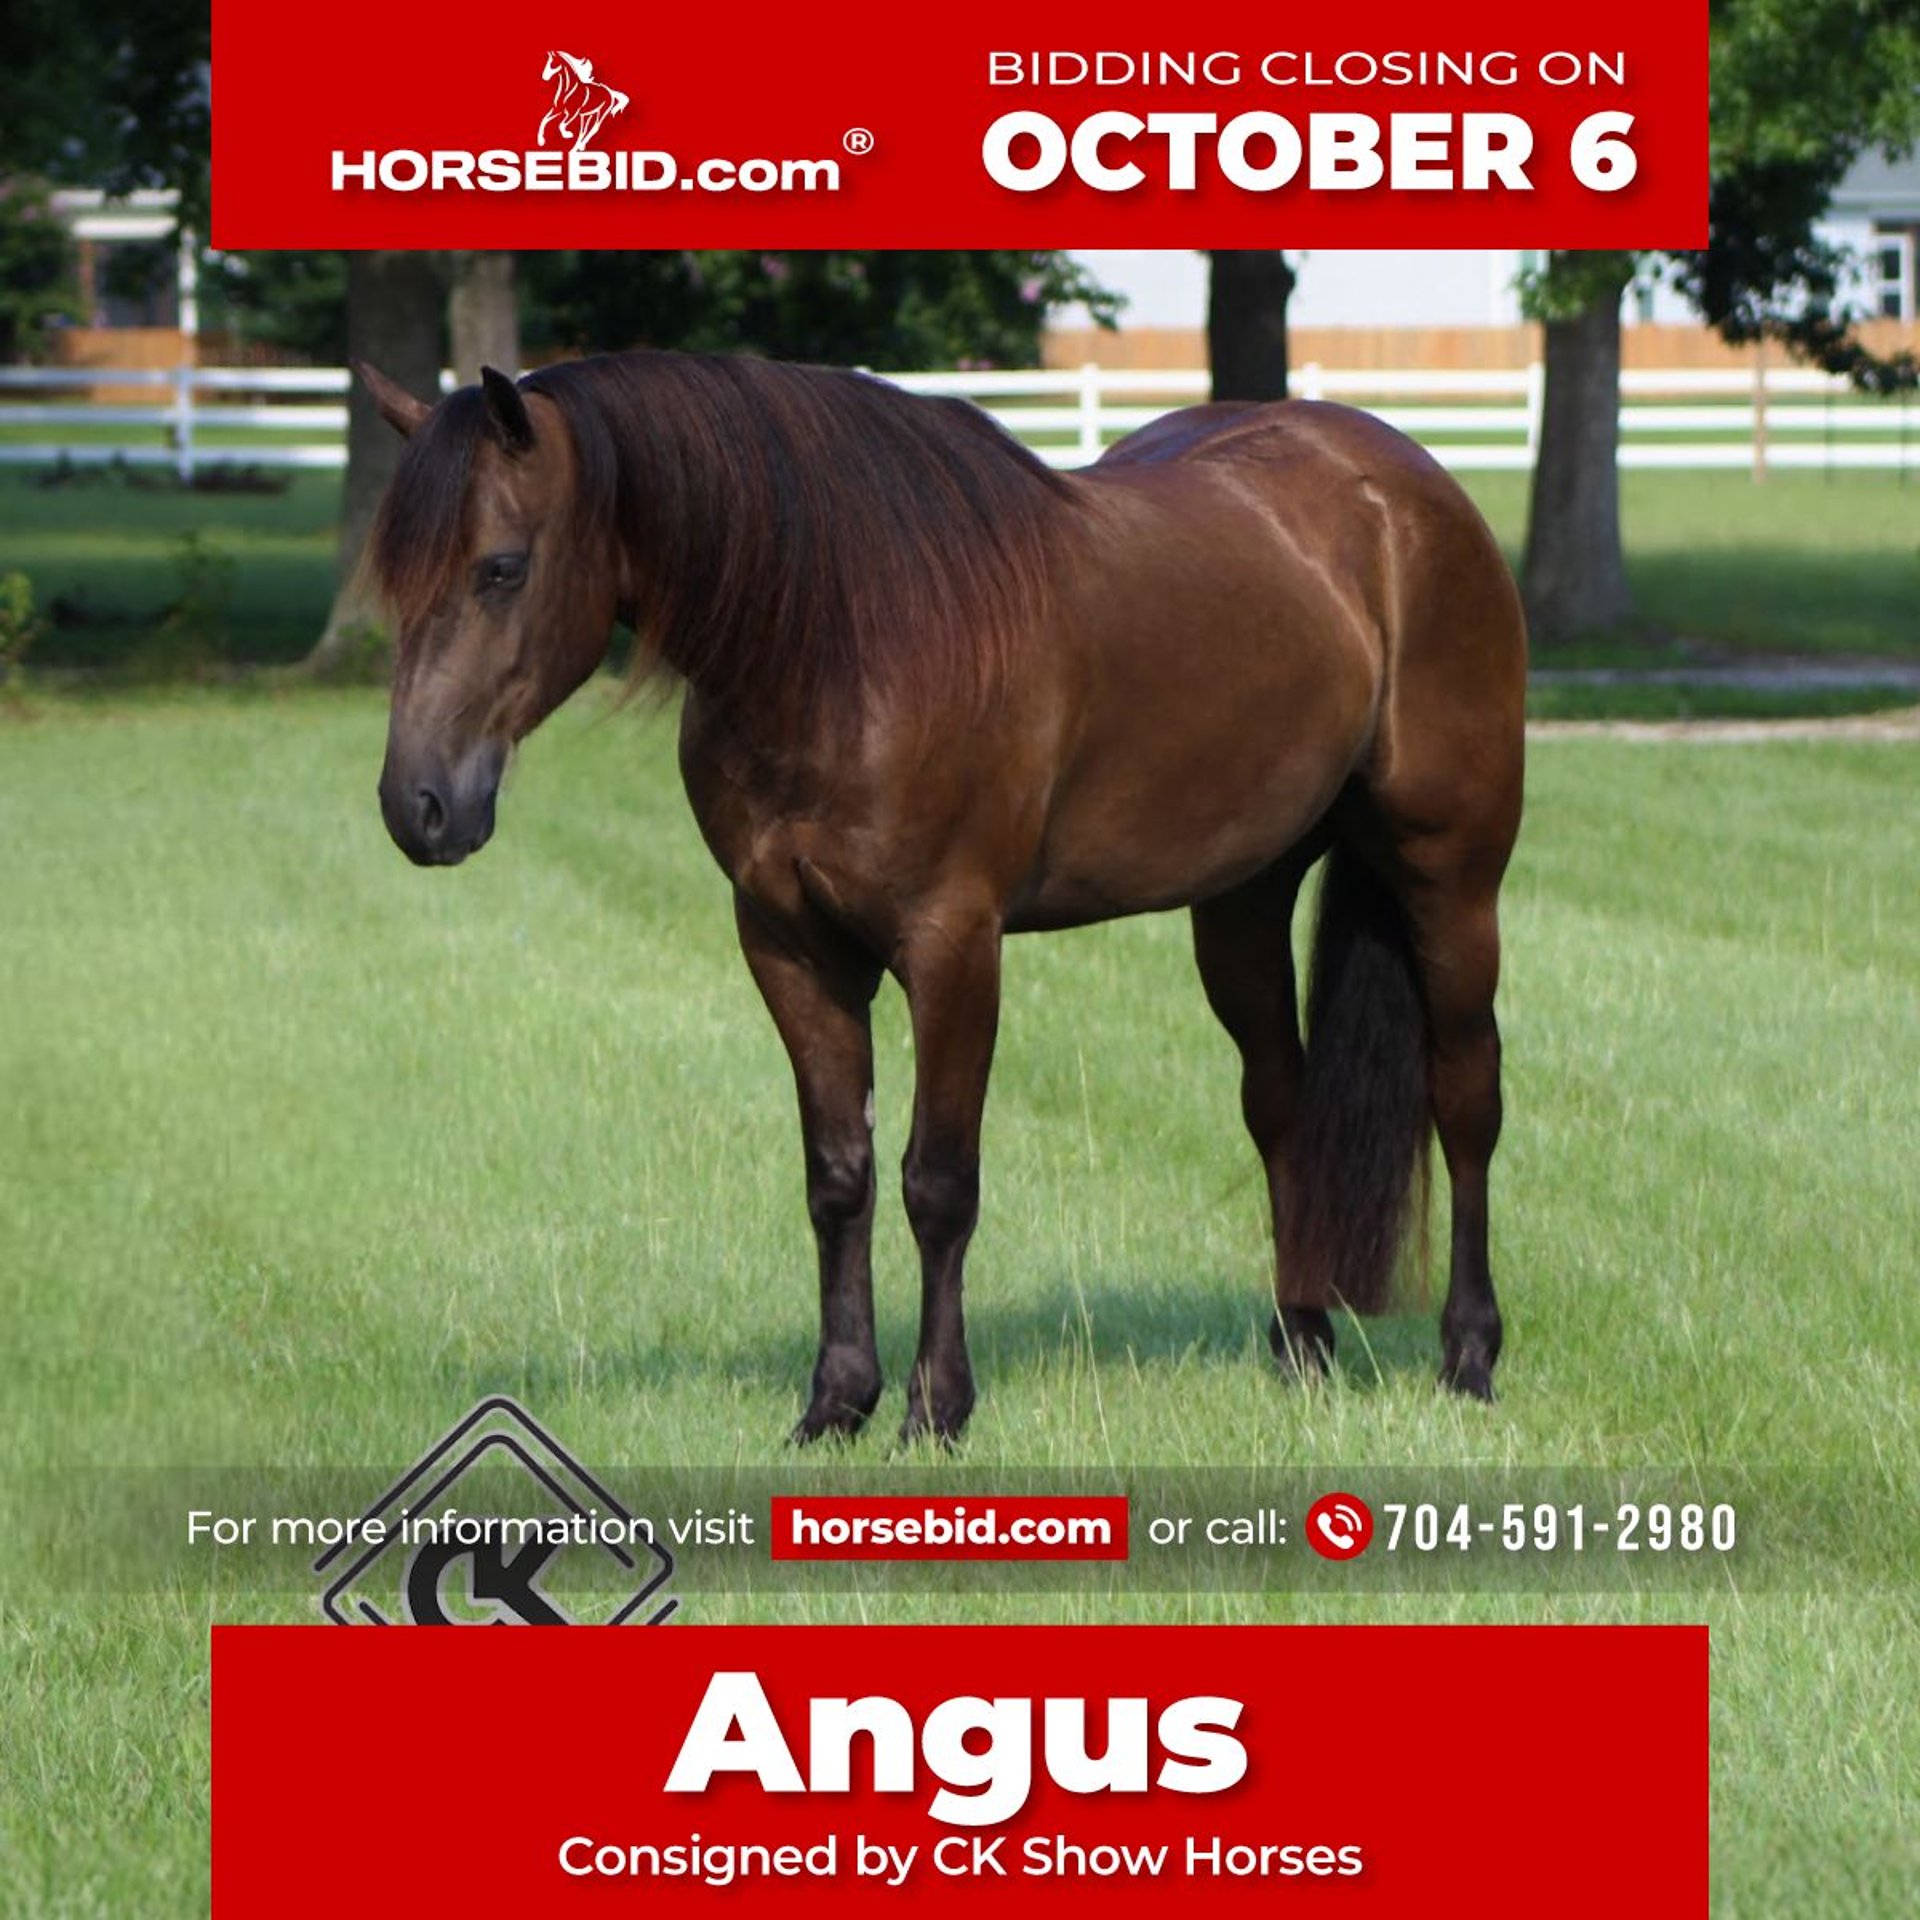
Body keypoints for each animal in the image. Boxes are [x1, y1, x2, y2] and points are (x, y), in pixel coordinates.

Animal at [355, 350, 1526, 1444]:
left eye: (501, 569)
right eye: (396, 581)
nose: (418, 807)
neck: (845, 643)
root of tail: (1403, 484)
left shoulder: (953, 945)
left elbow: (937, 1182)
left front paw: (935, 1409)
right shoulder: (788, 946)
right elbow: (839, 1176)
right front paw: (835, 1403)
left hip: (1451, 878)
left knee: (1466, 1099)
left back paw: (1469, 1357)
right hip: (1241, 898)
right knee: (1280, 1102)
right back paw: (1302, 1349)